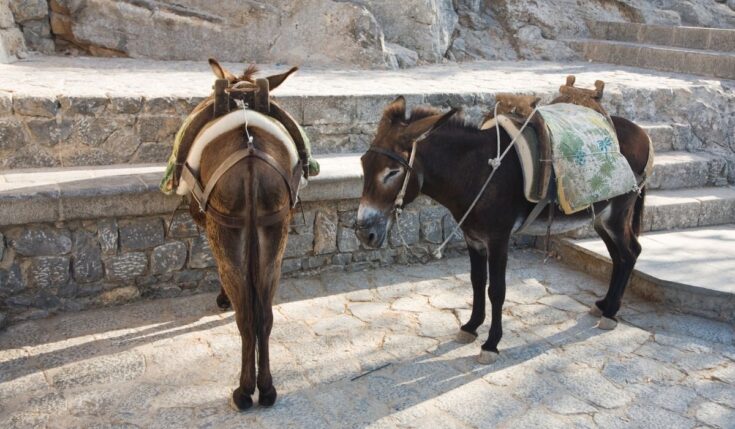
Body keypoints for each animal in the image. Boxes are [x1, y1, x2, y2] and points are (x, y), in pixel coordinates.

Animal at [179, 60, 303, 409]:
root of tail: (250, 160)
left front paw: (222, 298)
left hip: (228, 233)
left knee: (247, 317)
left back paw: (245, 391)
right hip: (274, 236)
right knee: (265, 318)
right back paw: (268, 388)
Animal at [355, 95, 651, 364]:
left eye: (392, 172)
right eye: (363, 163)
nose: (362, 233)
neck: (477, 171)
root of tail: (643, 133)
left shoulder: (499, 238)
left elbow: (496, 289)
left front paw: (491, 344)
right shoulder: (473, 237)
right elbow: (476, 281)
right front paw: (471, 326)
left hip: (618, 211)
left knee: (631, 252)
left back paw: (611, 313)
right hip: (601, 216)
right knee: (620, 256)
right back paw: (605, 305)